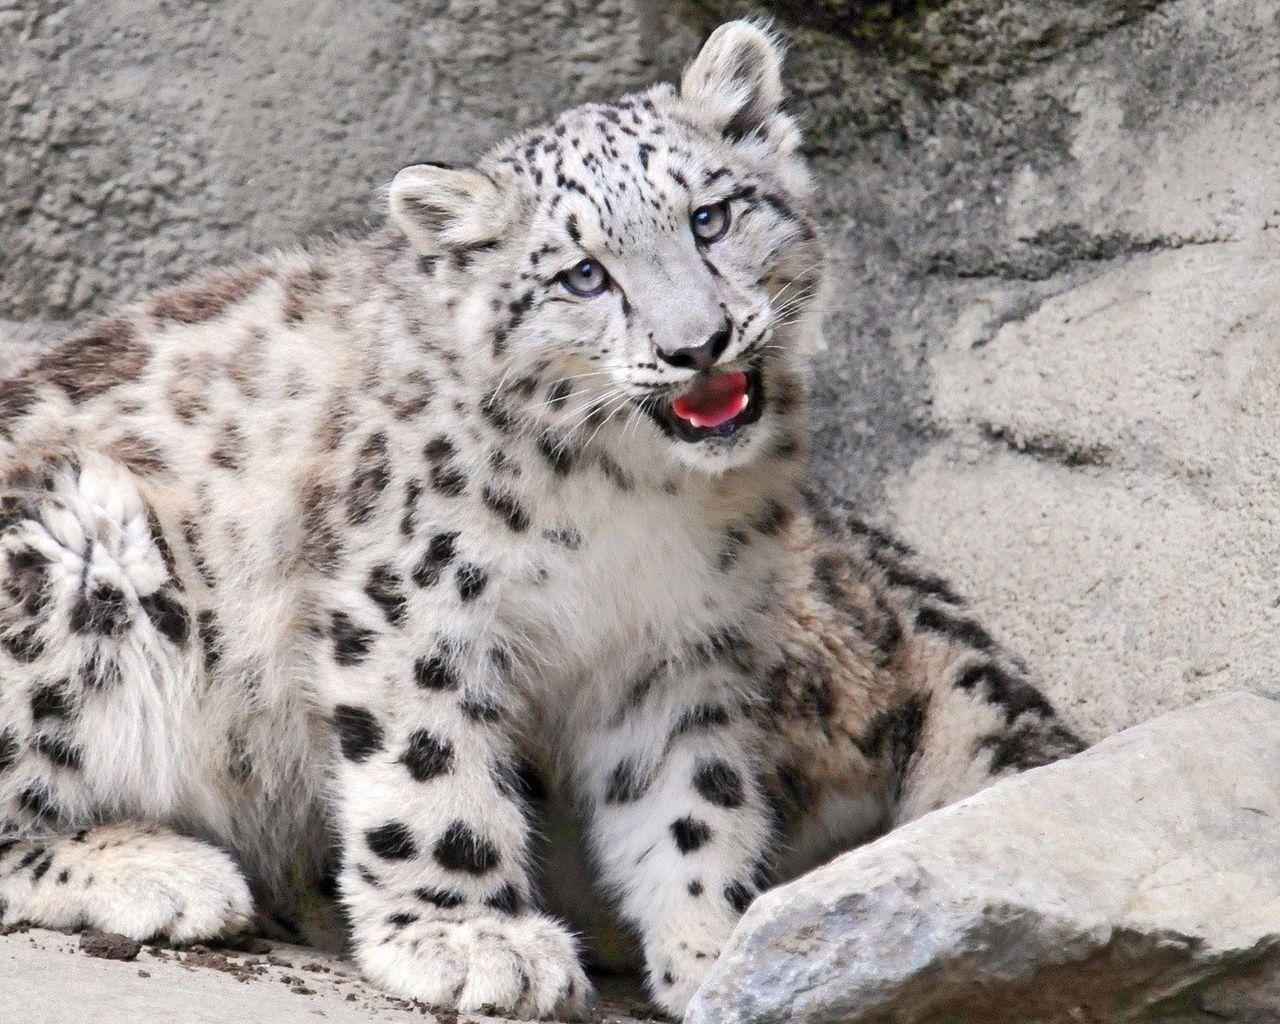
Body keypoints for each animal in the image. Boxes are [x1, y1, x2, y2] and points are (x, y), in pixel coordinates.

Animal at [0, 21, 1082, 1020]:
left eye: (712, 215)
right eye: (581, 275)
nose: (696, 345)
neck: (635, 502)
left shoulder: (675, 646)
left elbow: (691, 799)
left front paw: (721, 948)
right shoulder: (414, 602)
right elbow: (428, 771)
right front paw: (472, 939)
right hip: (76, 547)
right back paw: (167, 873)